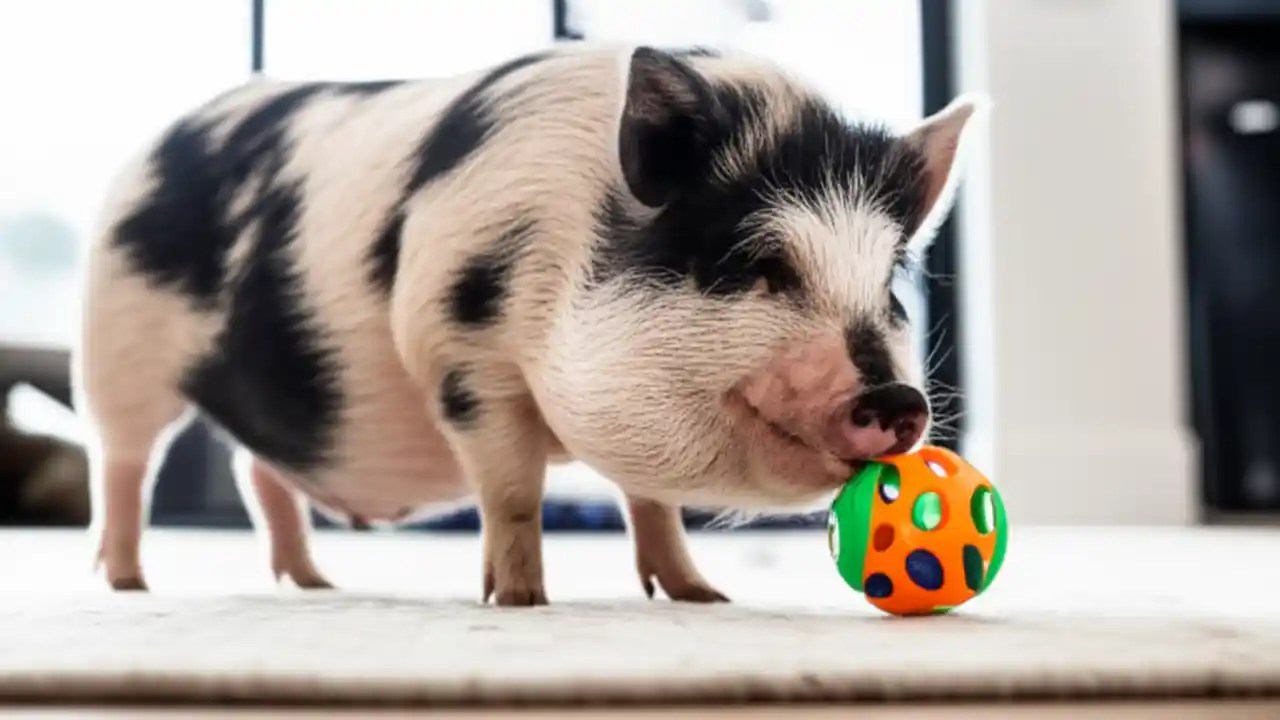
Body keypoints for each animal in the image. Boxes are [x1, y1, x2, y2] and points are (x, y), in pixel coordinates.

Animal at [73, 45, 982, 605]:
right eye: (761, 263)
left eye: (890, 283)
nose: (899, 400)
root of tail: (162, 140)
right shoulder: (464, 353)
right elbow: (512, 493)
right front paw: (521, 600)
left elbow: (651, 502)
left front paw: (702, 595)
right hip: (119, 347)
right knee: (124, 463)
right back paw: (126, 584)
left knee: (258, 469)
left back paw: (313, 584)